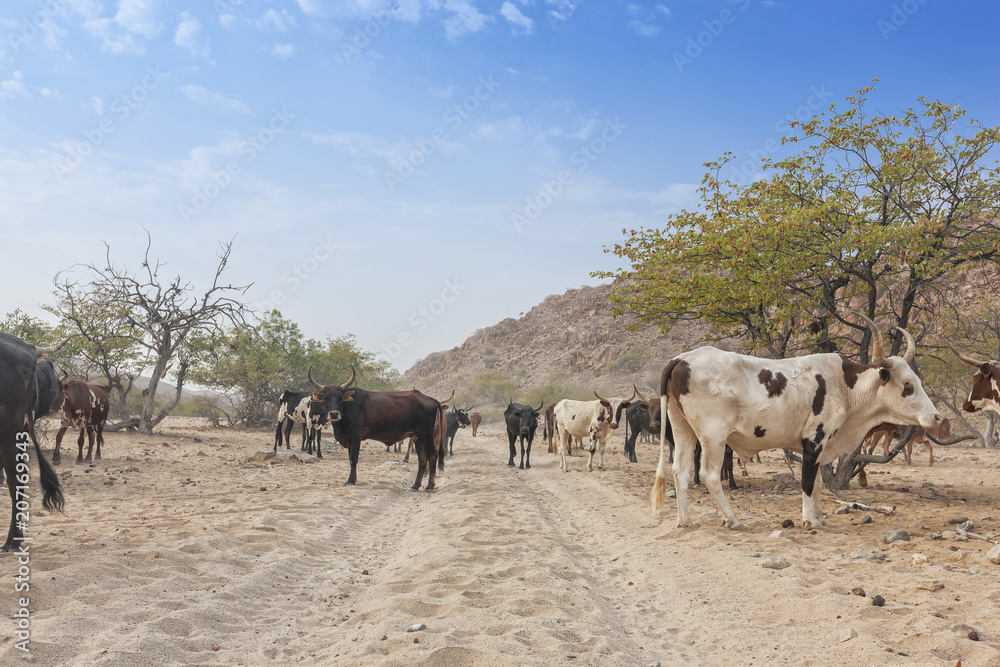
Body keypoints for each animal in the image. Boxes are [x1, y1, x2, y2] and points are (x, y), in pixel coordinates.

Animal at [310, 366, 452, 490]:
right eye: (326, 398)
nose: (334, 414)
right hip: (418, 438)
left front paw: (350, 481)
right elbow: (350, 459)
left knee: (432, 456)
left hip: (426, 436)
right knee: (422, 460)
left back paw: (430, 486)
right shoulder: (350, 439)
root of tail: (430, 399)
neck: (347, 406)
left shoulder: (356, 436)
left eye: (340, 398)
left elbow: (354, 458)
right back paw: (415, 486)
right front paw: (353, 479)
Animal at [650, 314, 943, 530]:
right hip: (714, 437)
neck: (845, 385)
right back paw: (732, 519)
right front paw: (809, 520)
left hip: (683, 430)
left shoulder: (819, 447)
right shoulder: (814, 441)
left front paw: (819, 516)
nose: (937, 417)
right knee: (708, 475)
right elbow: (807, 482)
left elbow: (818, 483)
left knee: (680, 471)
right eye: (907, 385)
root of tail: (681, 359)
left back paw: (685, 520)